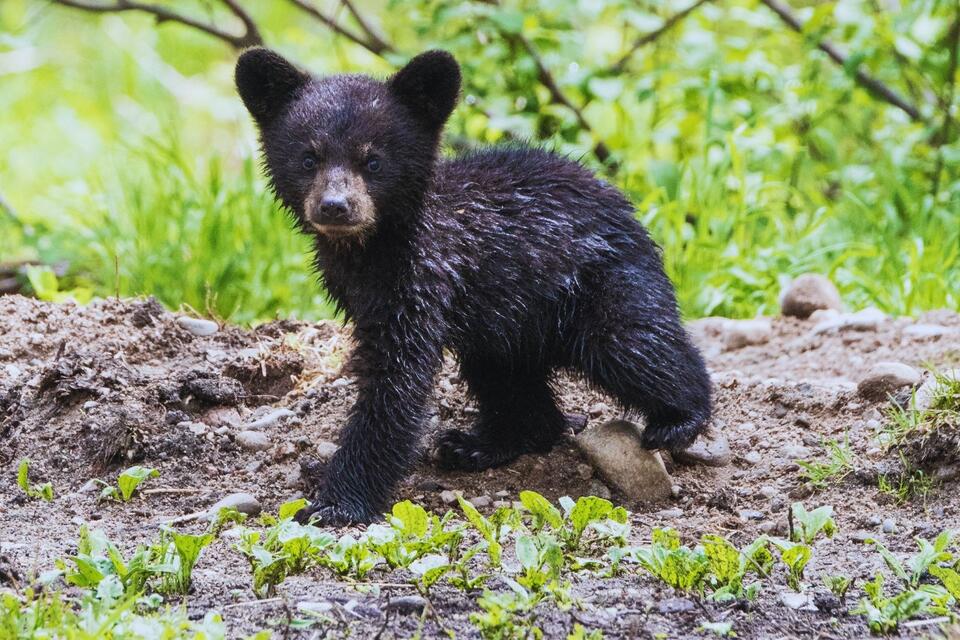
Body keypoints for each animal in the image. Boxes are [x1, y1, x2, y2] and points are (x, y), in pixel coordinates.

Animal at [235, 48, 712, 524]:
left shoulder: (423, 281)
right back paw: (479, 444)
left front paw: (337, 501)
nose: (335, 207)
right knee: (506, 377)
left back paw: (681, 417)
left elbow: (396, 385)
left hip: (598, 279)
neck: (371, 251)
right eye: (308, 158)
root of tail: (623, 204)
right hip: (506, 321)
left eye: (372, 160)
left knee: (633, 342)